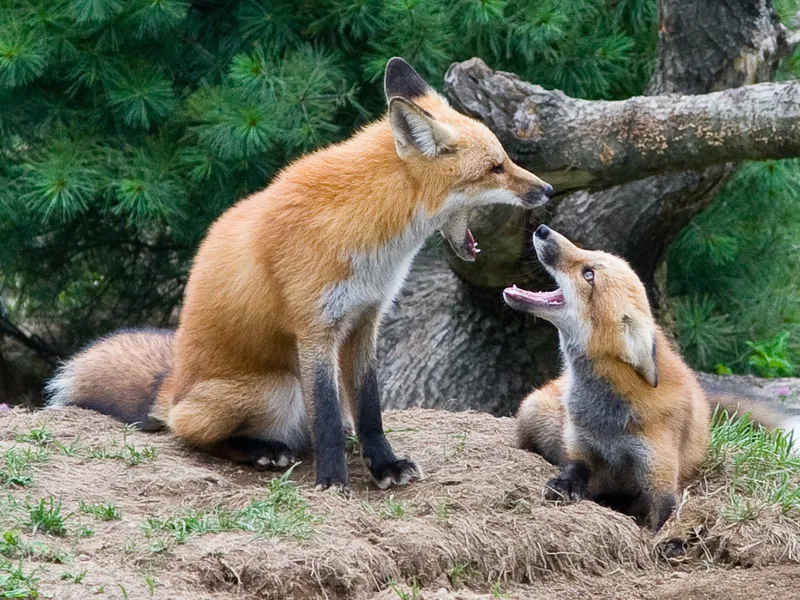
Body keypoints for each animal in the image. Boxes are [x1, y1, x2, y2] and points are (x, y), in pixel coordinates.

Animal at [46, 58, 554, 494]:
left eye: (507, 157)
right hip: (277, 388)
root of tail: (172, 387)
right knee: (186, 431)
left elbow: (369, 408)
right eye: (496, 168)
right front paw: (332, 481)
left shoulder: (366, 320)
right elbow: (327, 413)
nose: (547, 190)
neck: (372, 237)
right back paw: (261, 450)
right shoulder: (314, 330)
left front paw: (384, 465)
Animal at [504, 225, 799, 531]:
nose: (543, 230)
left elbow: (665, 514)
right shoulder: (581, 446)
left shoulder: (659, 471)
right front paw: (565, 484)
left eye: (589, 274)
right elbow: (576, 468)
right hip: (533, 410)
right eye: (590, 256)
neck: (608, 425)